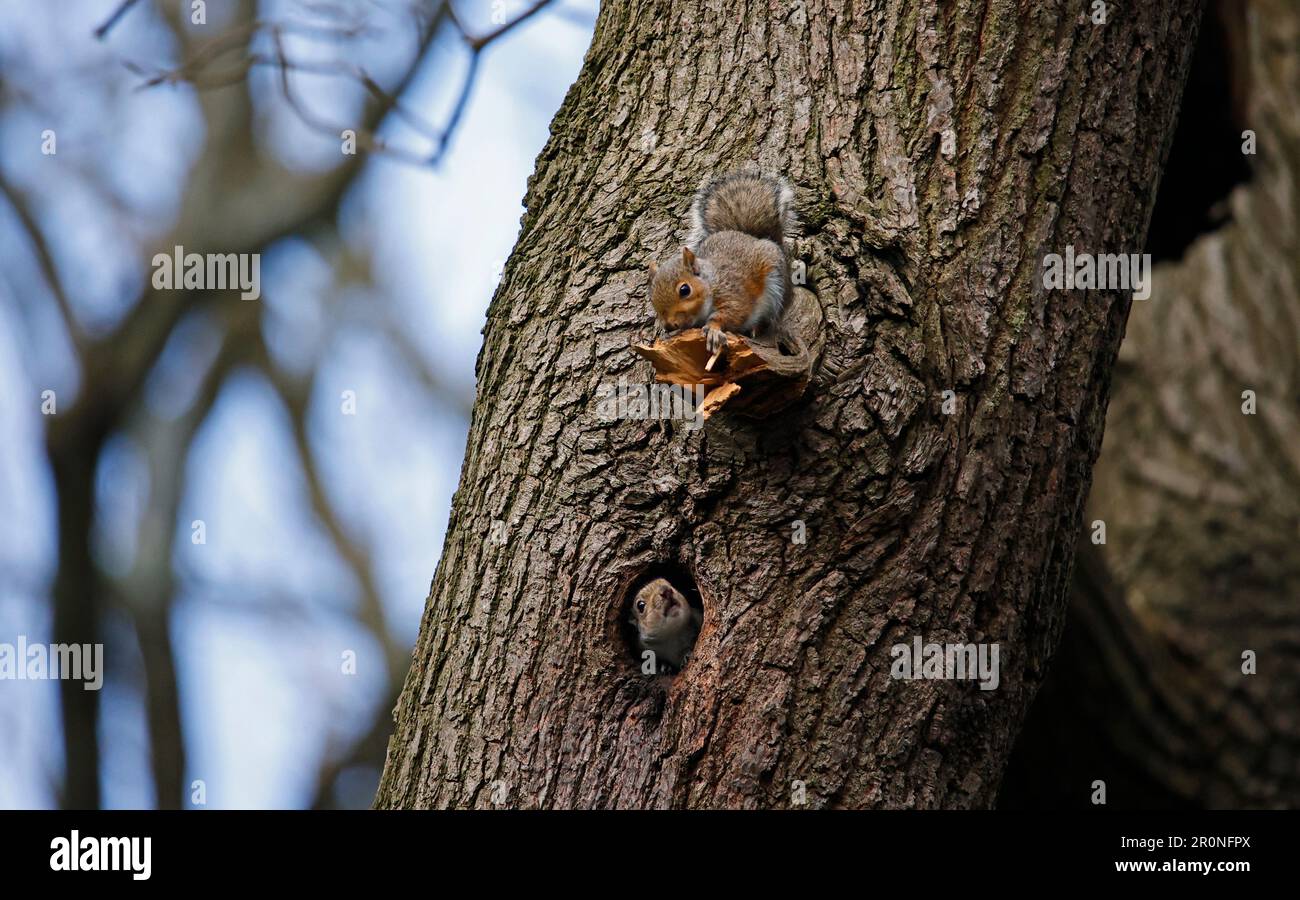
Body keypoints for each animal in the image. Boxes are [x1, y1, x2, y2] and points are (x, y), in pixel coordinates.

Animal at [648, 172, 797, 358]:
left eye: (685, 290)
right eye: (651, 297)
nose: (668, 326)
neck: (710, 283)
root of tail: (749, 236)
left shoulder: (731, 293)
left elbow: (732, 313)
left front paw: (713, 330)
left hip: (777, 285)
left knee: (772, 318)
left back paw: (757, 327)